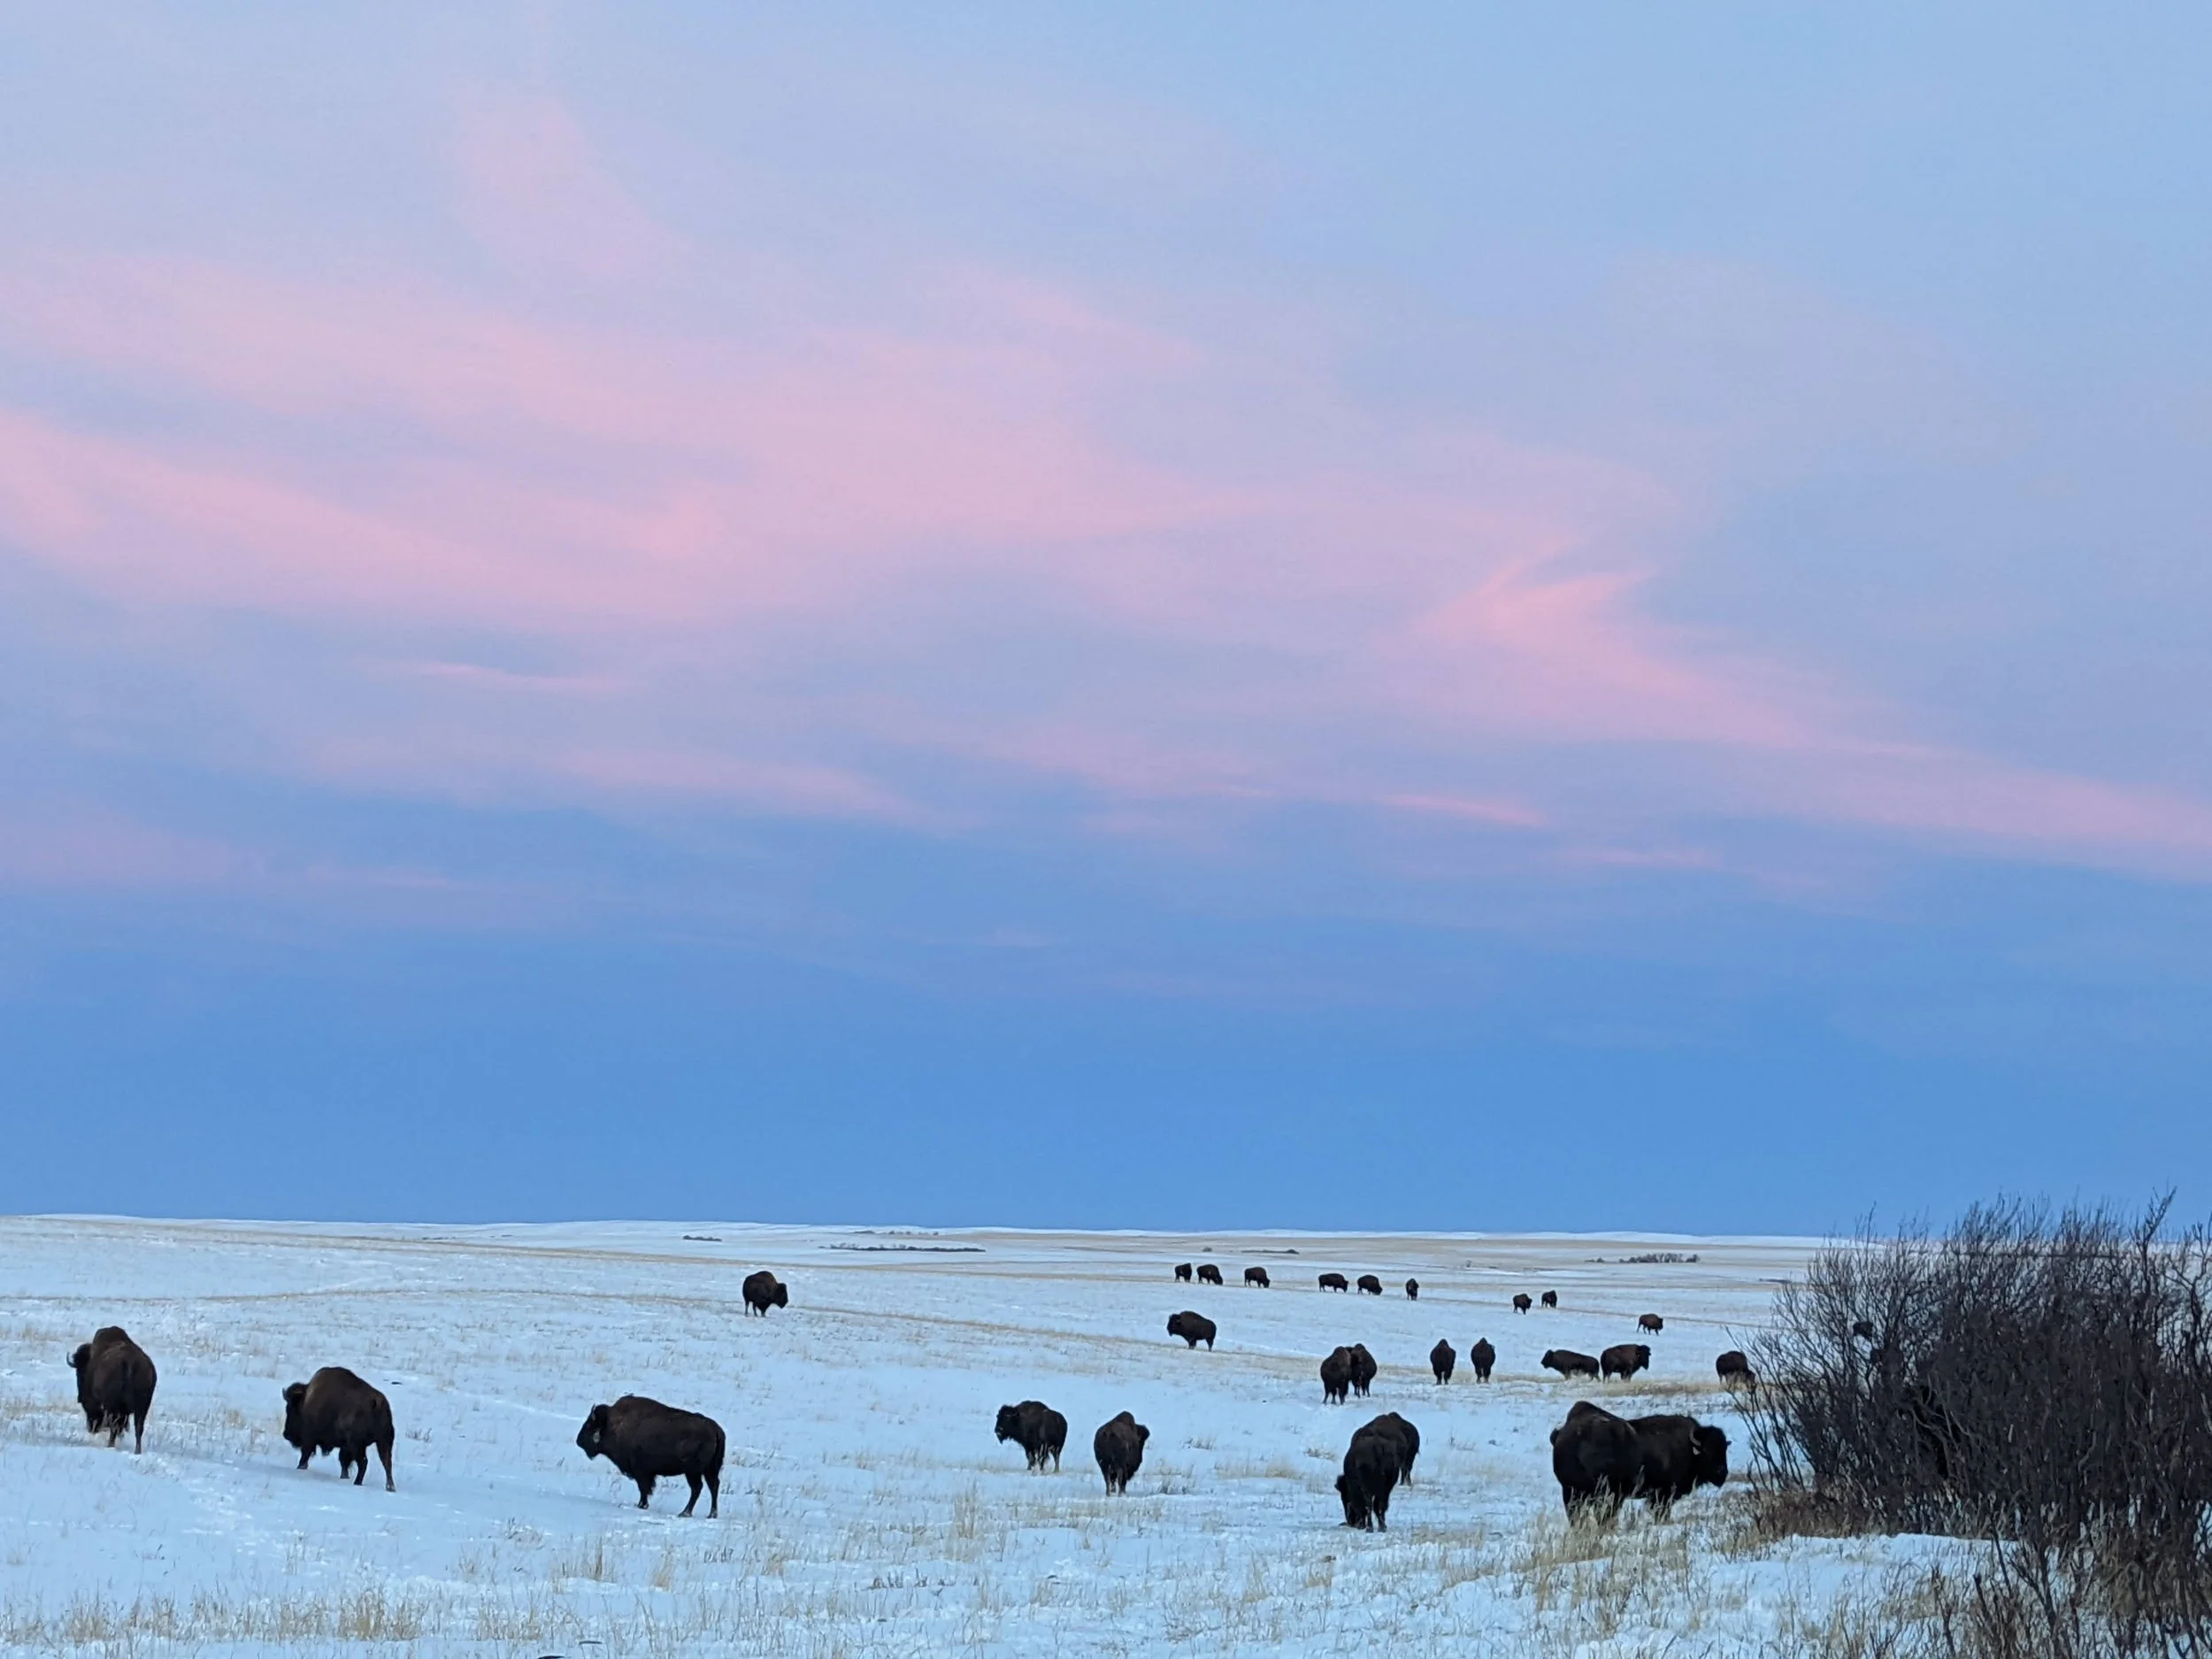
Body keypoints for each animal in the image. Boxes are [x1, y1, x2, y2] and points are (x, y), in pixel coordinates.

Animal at [68, 1327, 156, 1454]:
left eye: (79, 1372)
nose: (92, 1429)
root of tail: (131, 1363)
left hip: (116, 1406)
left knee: (115, 1426)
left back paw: (110, 1445)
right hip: (142, 1407)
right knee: (138, 1428)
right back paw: (137, 1451)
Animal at [282, 1367, 395, 1491]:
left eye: (290, 1409)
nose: (286, 1434)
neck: (307, 1399)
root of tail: (377, 1402)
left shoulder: (310, 1438)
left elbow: (305, 1455)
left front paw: (300, 1467)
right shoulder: (345, 1446)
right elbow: (343, 1462)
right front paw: (344, 1476)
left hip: (358, 1444)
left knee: (364, 1462)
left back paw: (357, 1483)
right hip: (383, 1442)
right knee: (387, 1462)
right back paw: (390, 1487)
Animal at [576, 1394, 724, 1516]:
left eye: (589, 1425)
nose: (578, 1441)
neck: (613, 1425)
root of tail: (716, 1430)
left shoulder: (642, 1472)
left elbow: (643, 1489)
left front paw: (641, 1505)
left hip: (693, 1471)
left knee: (697, 1488)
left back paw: (685, 1513)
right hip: (710, 1469)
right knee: (713, 1486)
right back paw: (711, 1515)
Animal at [1549, 1399, 1727, 1518]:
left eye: (1724, 1448)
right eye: (1707, 1451)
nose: (1723, 1473)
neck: (1688, 1445)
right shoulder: (1663, 1495)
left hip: (1572, 1492)